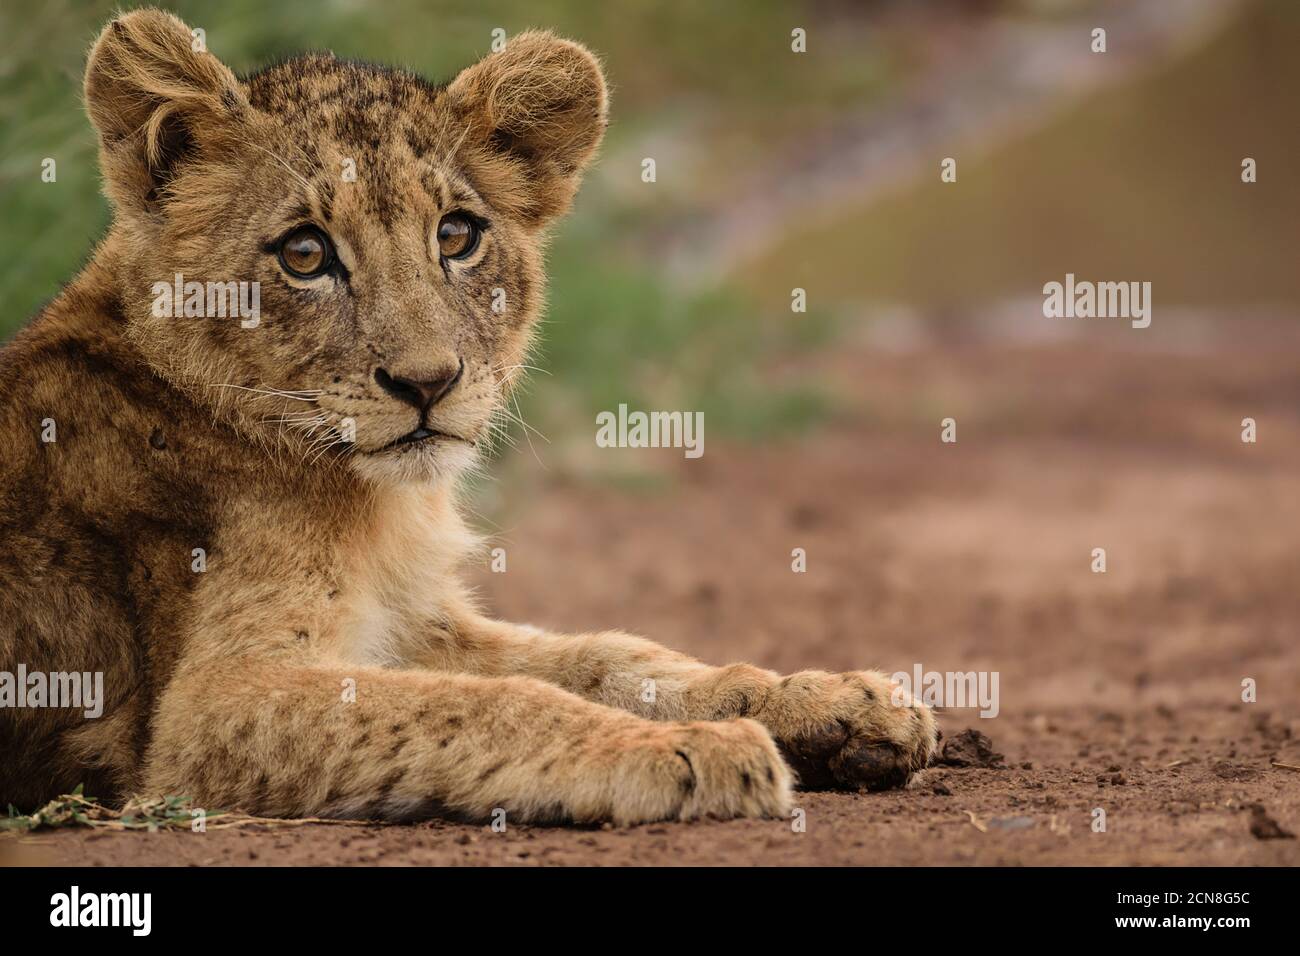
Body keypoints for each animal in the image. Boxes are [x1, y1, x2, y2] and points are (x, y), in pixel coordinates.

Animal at [0, 9, 936, 824]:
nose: (427, 383)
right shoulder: (207, 706)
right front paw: (696, 750)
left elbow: (605, 653)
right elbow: (497, 701)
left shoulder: (417, 620)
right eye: (304, 253)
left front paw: (836, 700)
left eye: (456, 236)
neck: (377, 502)